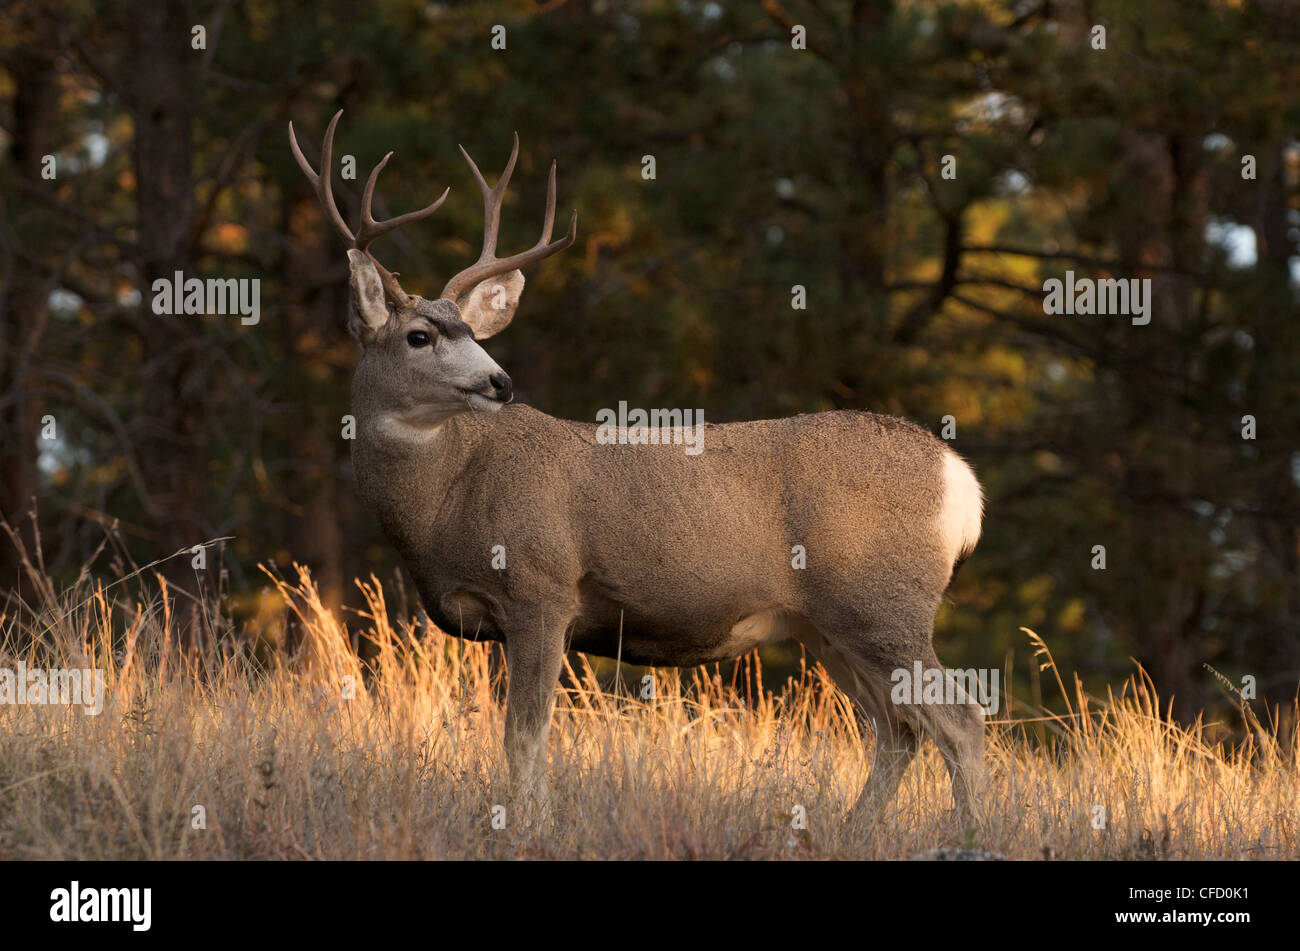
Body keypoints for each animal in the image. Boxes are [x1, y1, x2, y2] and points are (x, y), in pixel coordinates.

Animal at [289, 112, 987, 825]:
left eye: (471, 334)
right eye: (420, 336)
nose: (499, 381)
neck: (443, 502)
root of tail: (960, 480)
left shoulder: (541, 590)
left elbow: (525, 737)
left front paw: (531, 825)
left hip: (883, 603)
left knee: (958, 720)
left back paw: (968, 828)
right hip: (828, 625)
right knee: (899, 728)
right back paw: (853, 830)